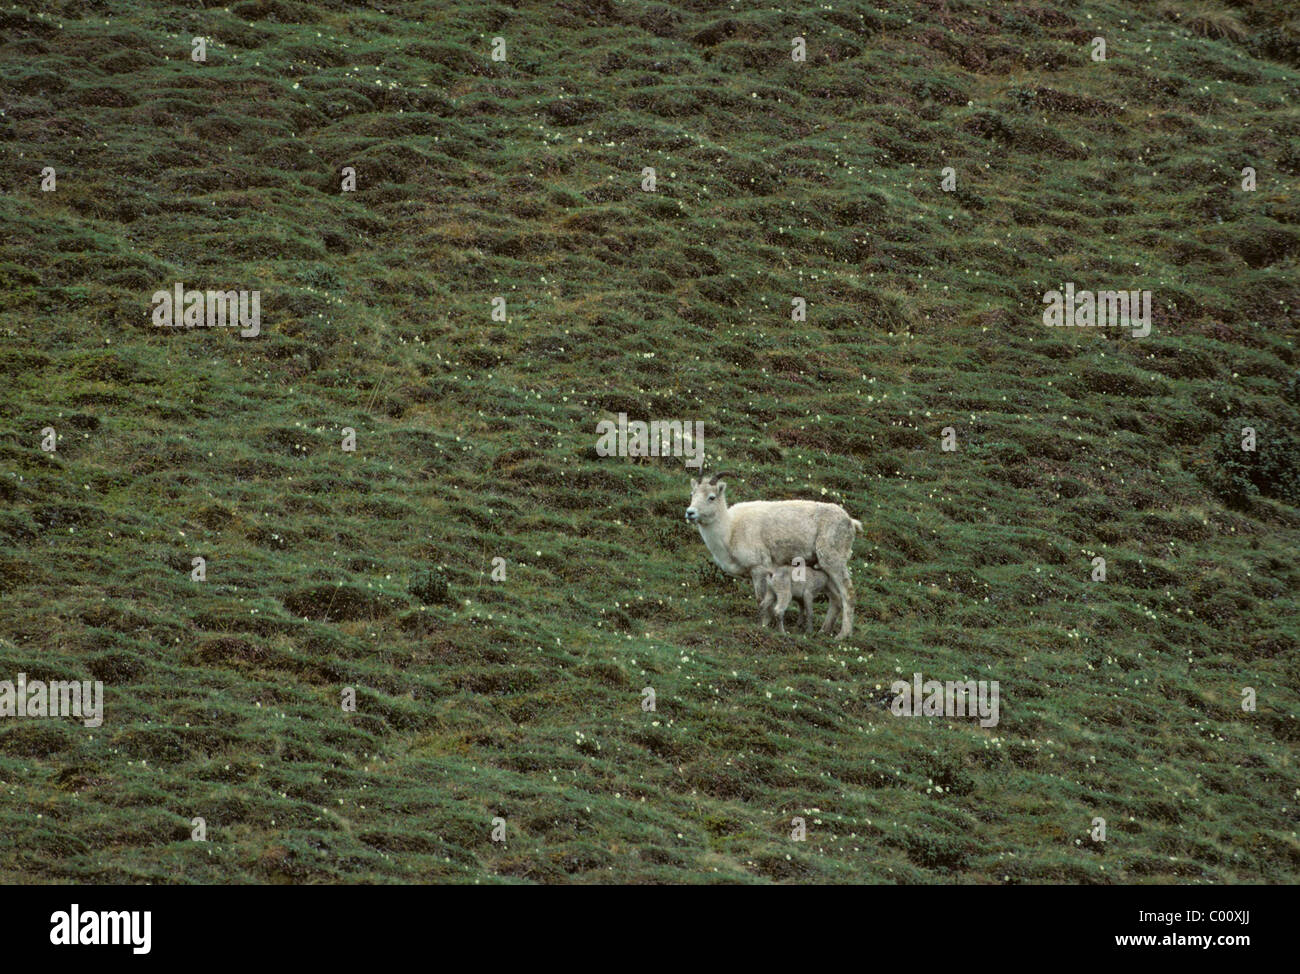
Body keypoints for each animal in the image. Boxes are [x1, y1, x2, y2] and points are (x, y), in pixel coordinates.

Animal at [685, 473, 863, 639]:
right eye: (692, 493)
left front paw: (765, 624)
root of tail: (851, 522)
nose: (690, 513)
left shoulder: (758, 569)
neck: (730, 530)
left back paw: (842, 635)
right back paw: (823, 631)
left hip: (833, 561)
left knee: (848, 594)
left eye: (711, 497)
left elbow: (761, 600)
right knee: (836, 598)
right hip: (823, 567)